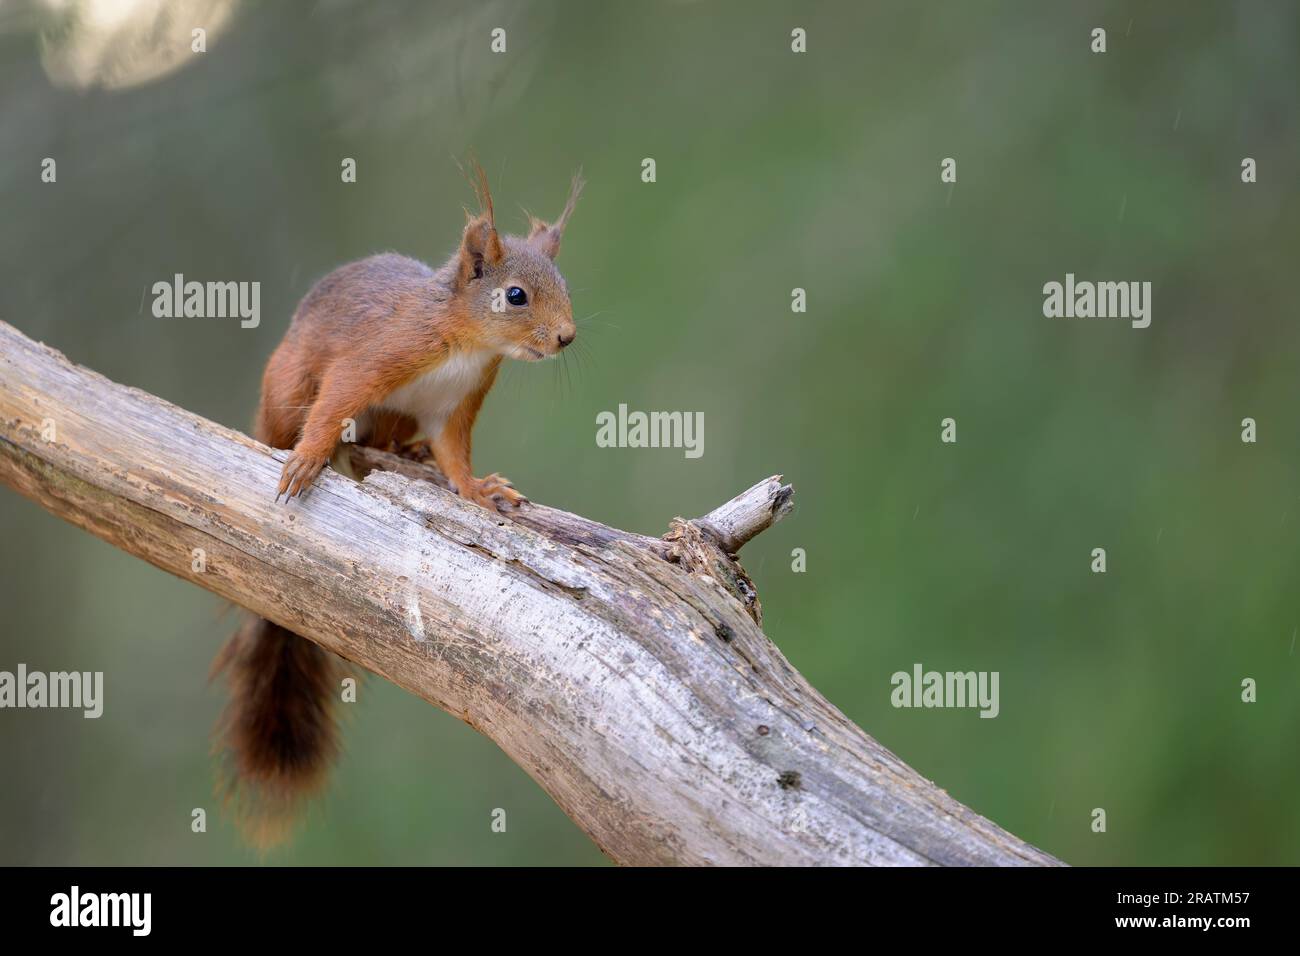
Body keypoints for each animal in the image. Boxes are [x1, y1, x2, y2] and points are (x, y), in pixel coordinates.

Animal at [213, 166, 583, 846]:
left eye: (564, 285)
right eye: (516, 296)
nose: (567, 338)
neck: (467, 343)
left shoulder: (453, 407)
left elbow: (456, 458)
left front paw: (480, 490)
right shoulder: (375, 358)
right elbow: (335, 402)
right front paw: (308, 459)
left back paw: (403, 453)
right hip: (288, 383)